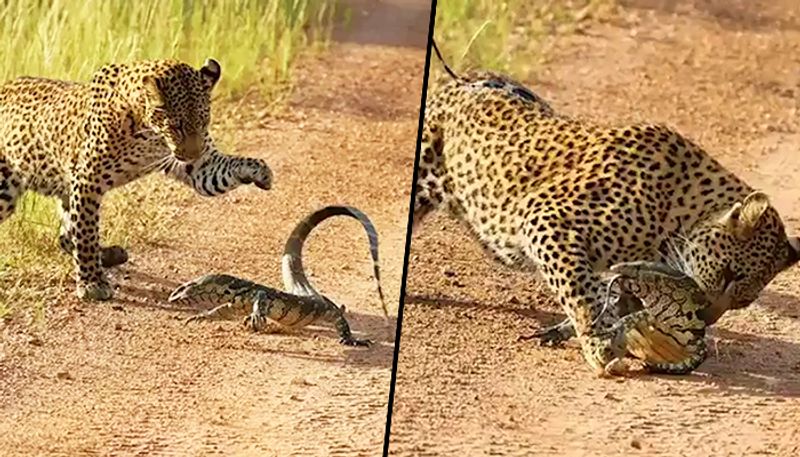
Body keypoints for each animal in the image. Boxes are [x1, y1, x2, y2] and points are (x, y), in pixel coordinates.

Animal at [0, 58, 273, 301]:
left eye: (204, 122)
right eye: (177, 126)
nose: (193, 154)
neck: (148, 131)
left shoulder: (201, 167)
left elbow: (225, 169)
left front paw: (260, 170)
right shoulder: (87, 179)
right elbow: (86, 232)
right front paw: (92, 284)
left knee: (66, 235)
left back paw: (110, 255)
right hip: (6, 189)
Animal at [413, 41, 800, 374]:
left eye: (742, 302)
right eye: (729, 274)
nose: (705, 317)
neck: (675, 208)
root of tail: (466, 77)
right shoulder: (546, 218)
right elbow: (581, 291)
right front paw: (598, 343)